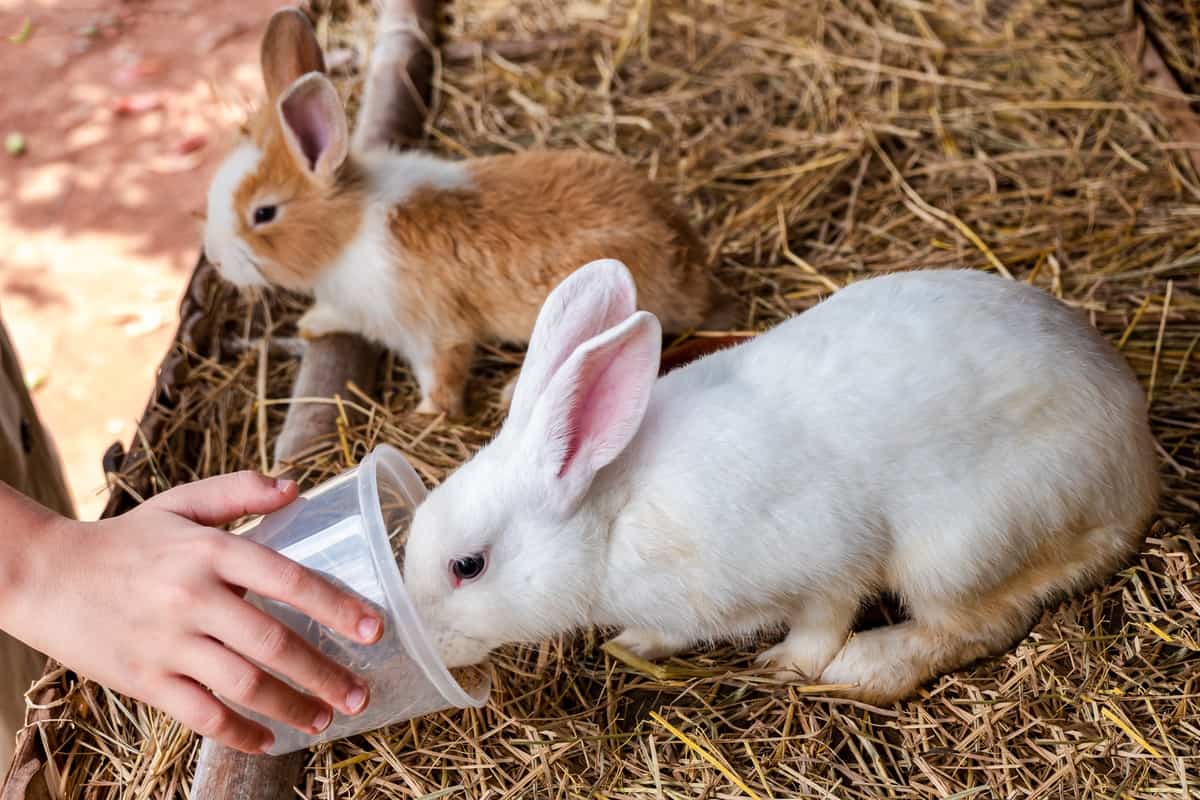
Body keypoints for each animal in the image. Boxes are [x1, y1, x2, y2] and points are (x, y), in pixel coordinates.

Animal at [201, 8, 721, 418]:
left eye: (264, 213)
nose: (214, 259)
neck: (349, 228)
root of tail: (693, 265)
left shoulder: (431, 331)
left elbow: (443, 373)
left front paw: (426, 416)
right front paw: (312, 323)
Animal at [400, 259, 1159, 705]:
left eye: (468, 566)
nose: (427, 644)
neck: (611, 518)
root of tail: (1136, 469)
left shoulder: (827, 559)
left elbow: (823, 618)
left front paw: (787, 667)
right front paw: (635, 645)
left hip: (959, 550)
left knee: (978, 624)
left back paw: (868, 670)